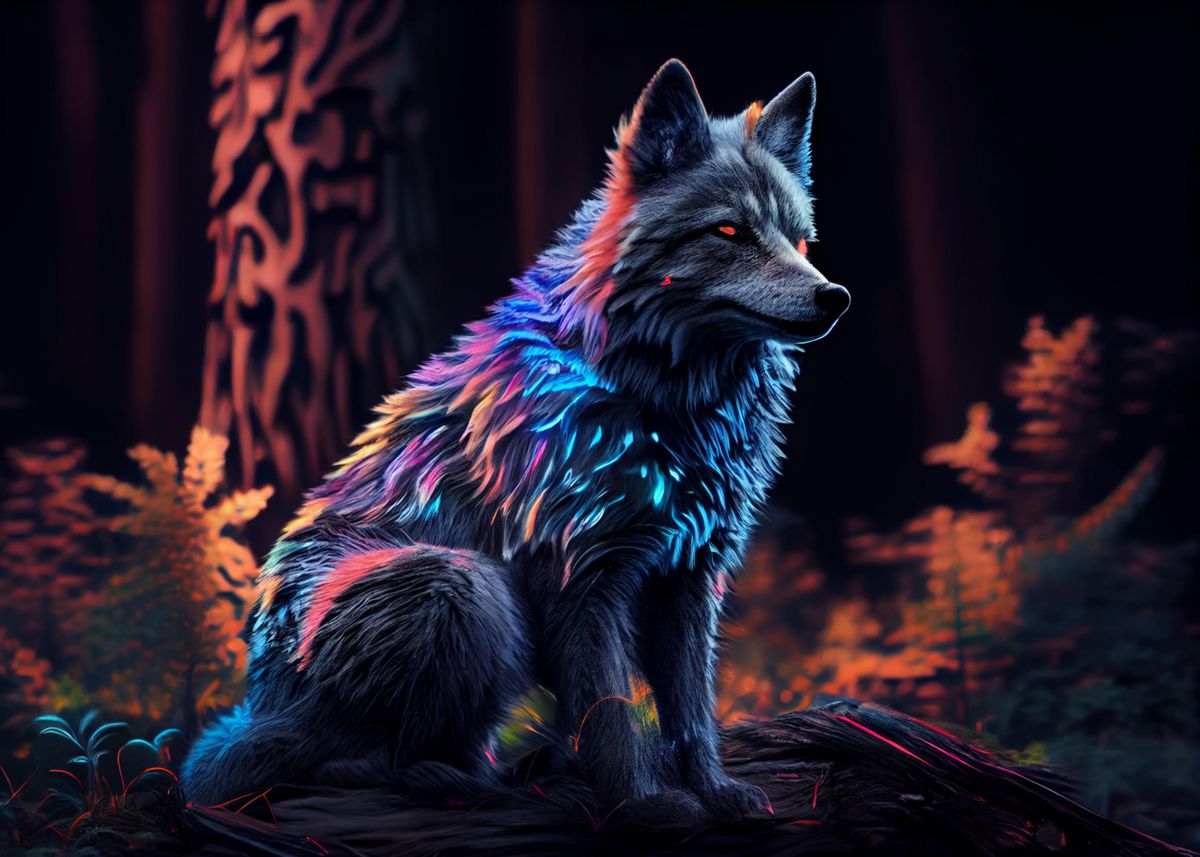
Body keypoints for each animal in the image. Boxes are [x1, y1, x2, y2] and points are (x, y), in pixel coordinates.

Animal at [181, 59, 849, 819]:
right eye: (730, 230)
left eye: (799, 240)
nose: (834, 295)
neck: (661, 402)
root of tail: (259, 705)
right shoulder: (580, 579)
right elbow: (612, 714)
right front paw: (639, 807)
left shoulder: (688, 577)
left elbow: (691, 711)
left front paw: (713, 791)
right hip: (464, 585)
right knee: (350, 761)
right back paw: (452, 782)